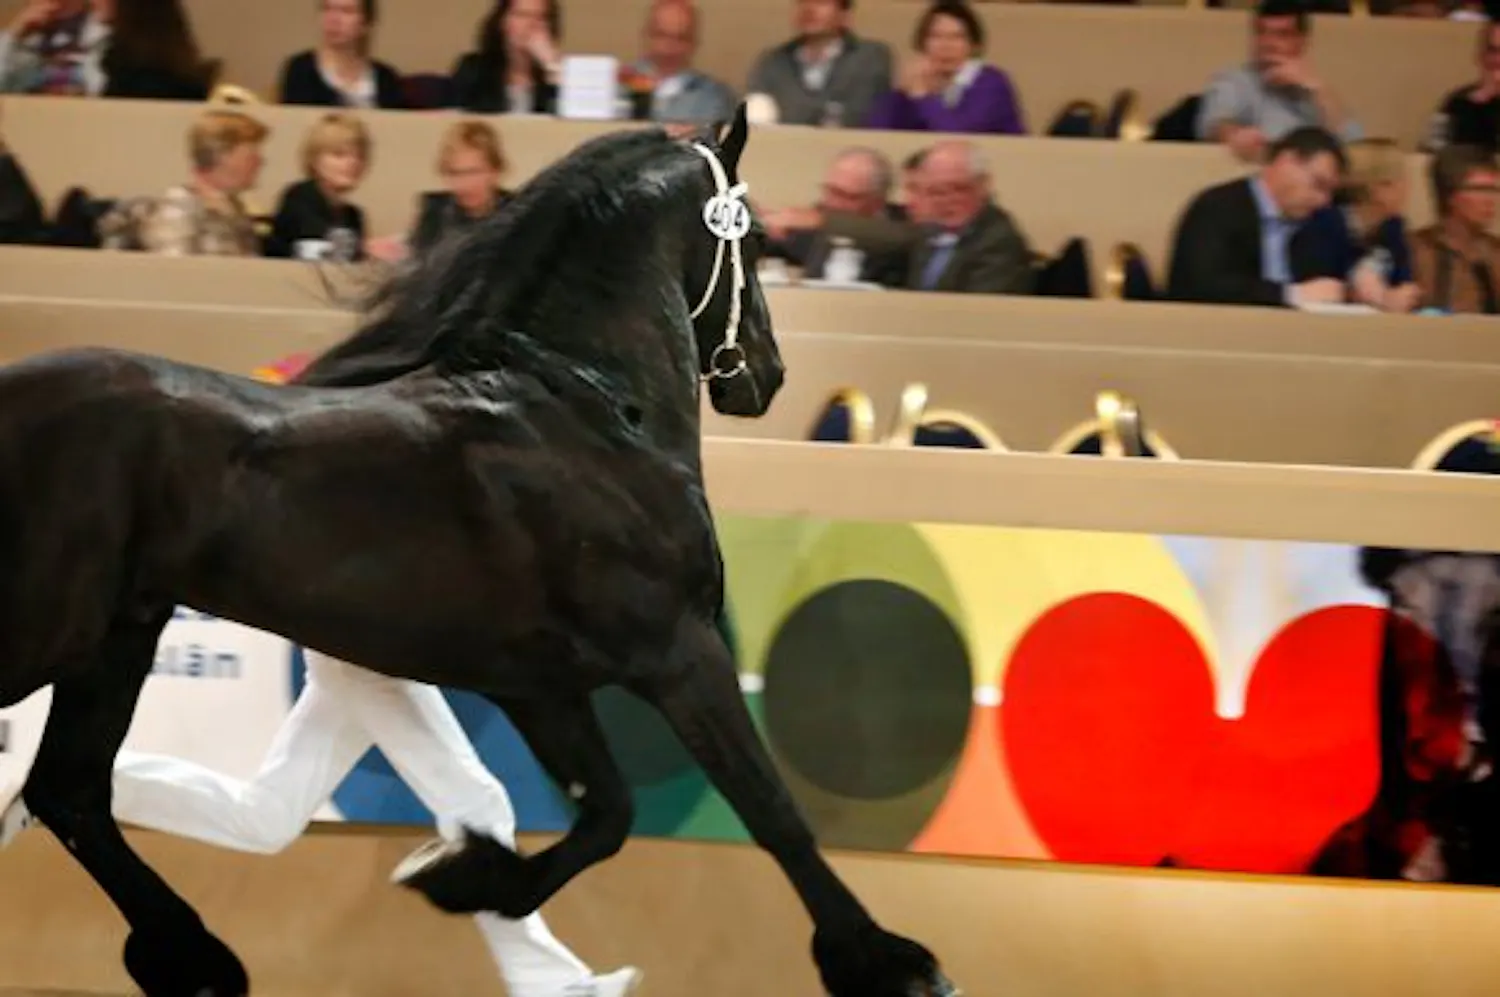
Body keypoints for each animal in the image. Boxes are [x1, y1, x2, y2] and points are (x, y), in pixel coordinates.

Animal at [0, 105, 958, 997]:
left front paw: (467, 874)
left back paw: (193, 957)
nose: (765, 373)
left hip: (118, 634)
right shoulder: (680, 653)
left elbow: (607, 815)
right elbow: (771, 809)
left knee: (70, 792)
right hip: (52, 634)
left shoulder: (541, 683)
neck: (585, 411)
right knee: (64, 788)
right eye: (753, 239)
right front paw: (892, 963)